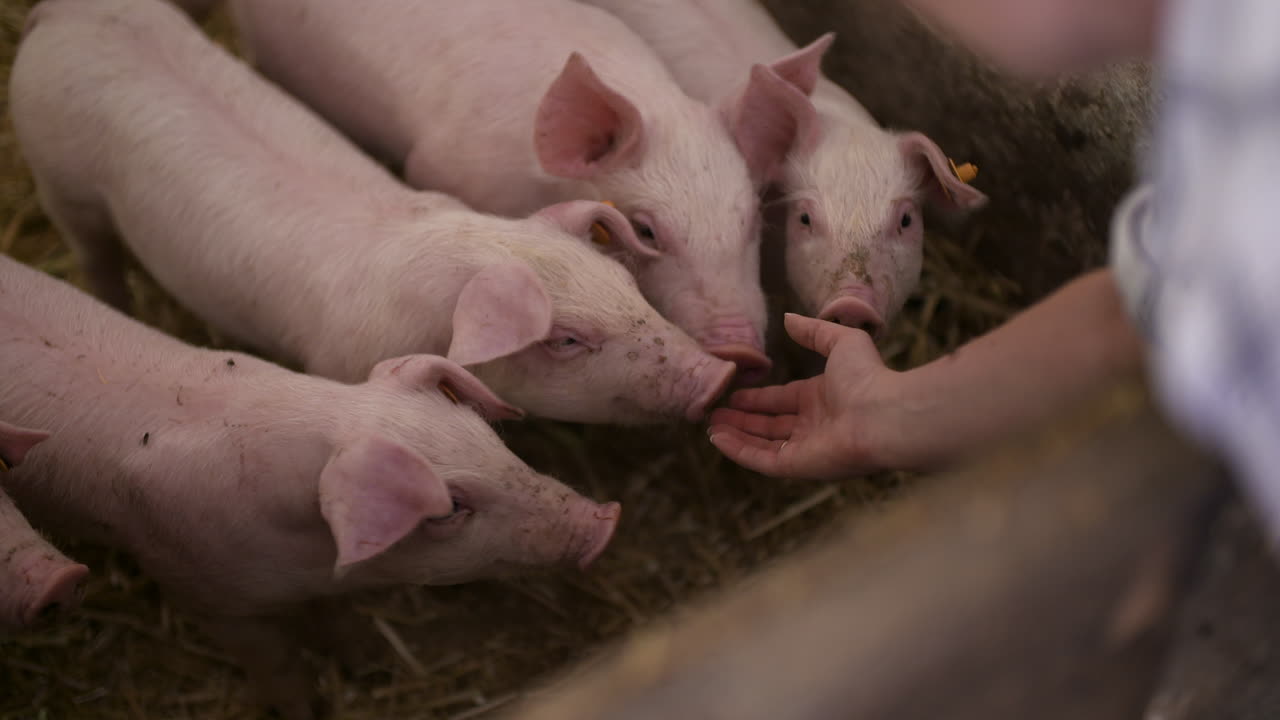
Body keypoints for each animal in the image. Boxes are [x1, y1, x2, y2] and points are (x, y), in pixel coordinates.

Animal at [11, 0, 736, 426]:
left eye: (628, 286)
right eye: (565, 341)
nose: (720, 374)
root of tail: (65, 13)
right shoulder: (337, 360)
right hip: (59, 178)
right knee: (93, 251)